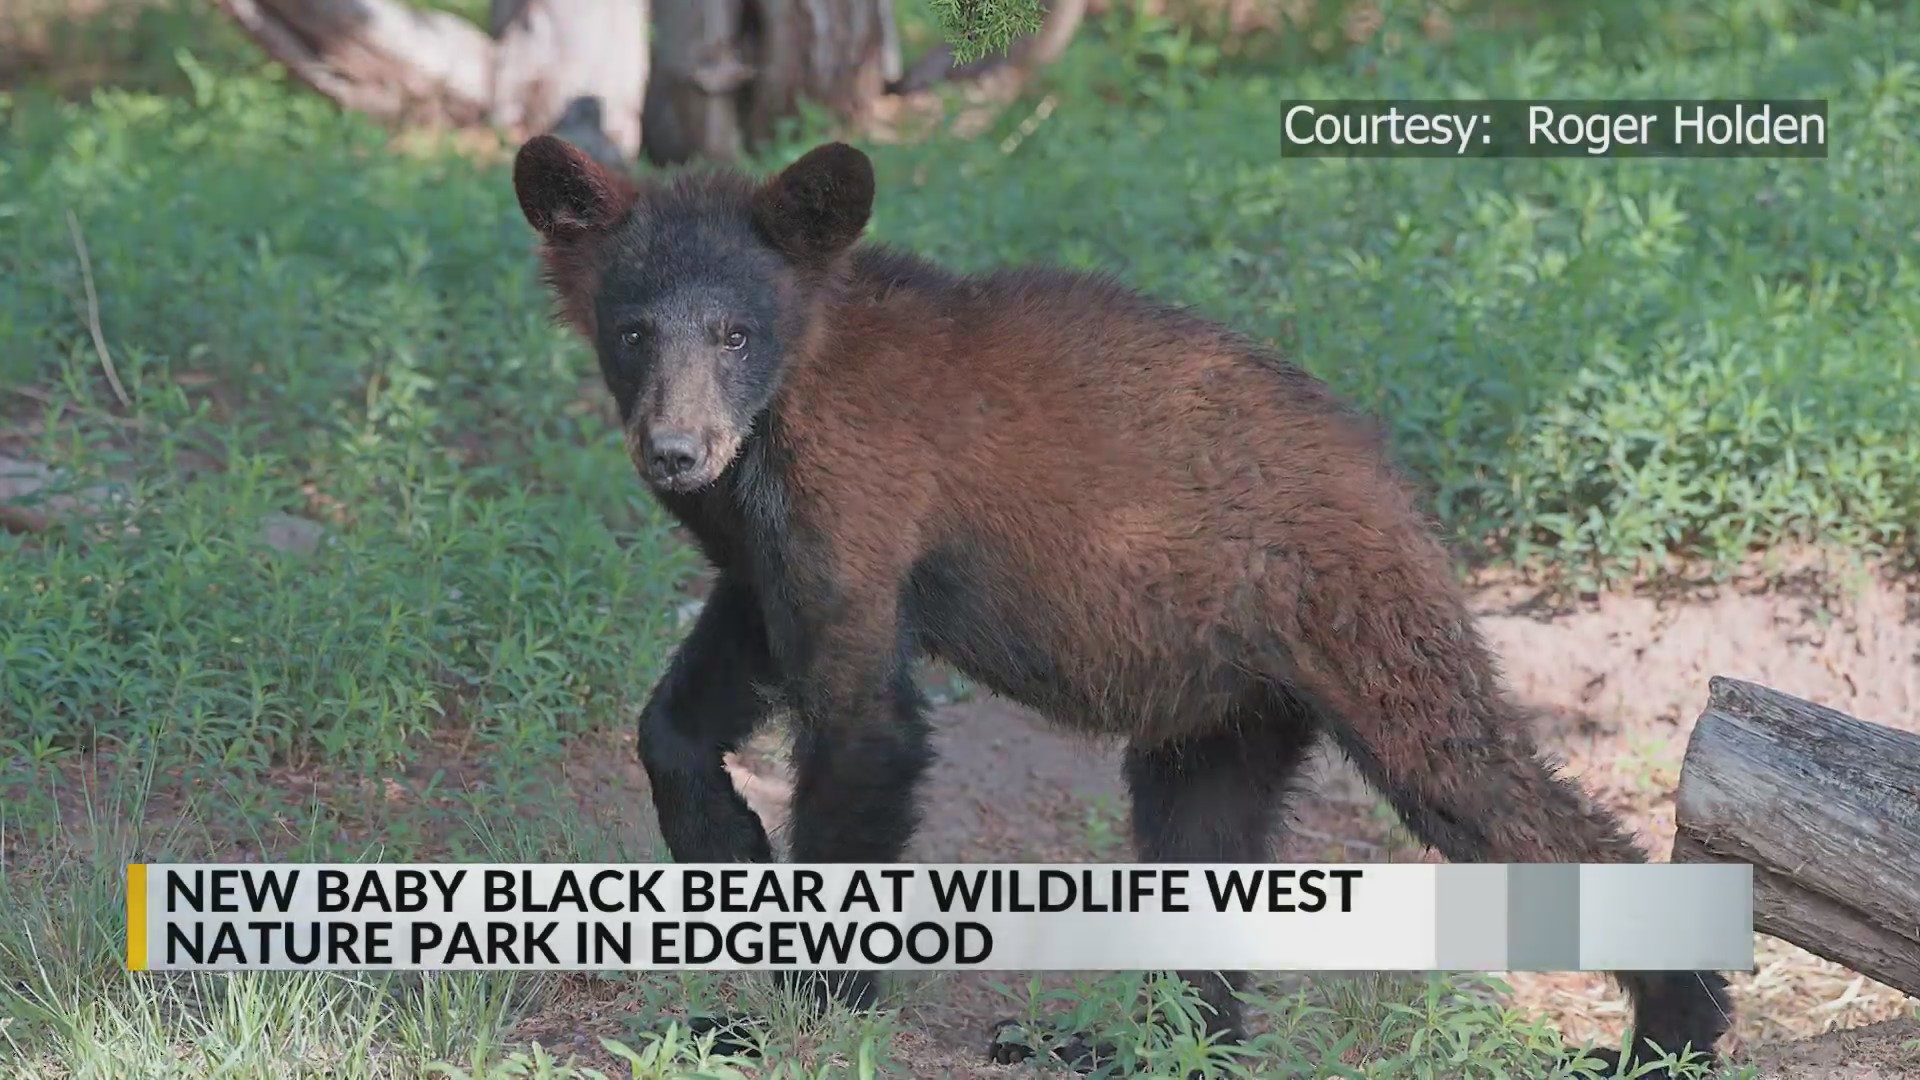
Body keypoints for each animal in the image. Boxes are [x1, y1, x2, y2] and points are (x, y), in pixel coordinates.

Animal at [509, 133, 1734, 1077]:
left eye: (734, 331)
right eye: (633, 328)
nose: (676, 452)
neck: (785, 393)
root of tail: (1393, 479)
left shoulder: (859, 496)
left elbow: (863, 726)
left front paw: (792, 1014)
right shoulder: (759, 548)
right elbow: (702, 687)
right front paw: (724, 836)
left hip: (1357, 624)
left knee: (1475, 778)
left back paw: (1672, 1028)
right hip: (1223, 711)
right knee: (1202, 847)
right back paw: (1135, 1043)